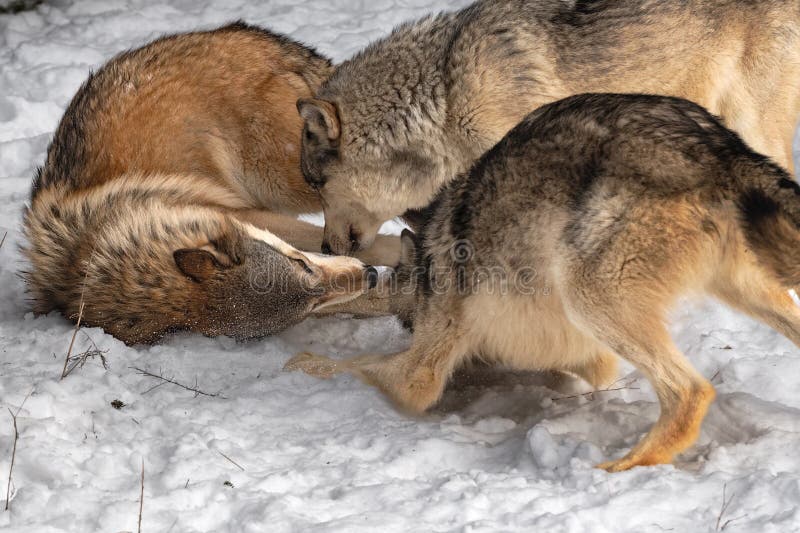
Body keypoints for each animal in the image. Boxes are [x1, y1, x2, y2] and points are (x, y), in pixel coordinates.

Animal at [22, 22, 402, 345]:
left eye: (301, 263)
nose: (369, 274)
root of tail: (245, 35)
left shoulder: (242, 212)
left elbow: (367, 247)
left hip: (290, 186)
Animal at [286, 93, 800, 471]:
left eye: (406, 323)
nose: (409, 325)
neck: (432, 255)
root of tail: (720, 148)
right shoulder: (589, 357)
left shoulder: (422, 369)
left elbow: (357, 365)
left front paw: (303, 361)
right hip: (748, 290)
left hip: (589, 296)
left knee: (691, 392)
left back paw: (618, 468)